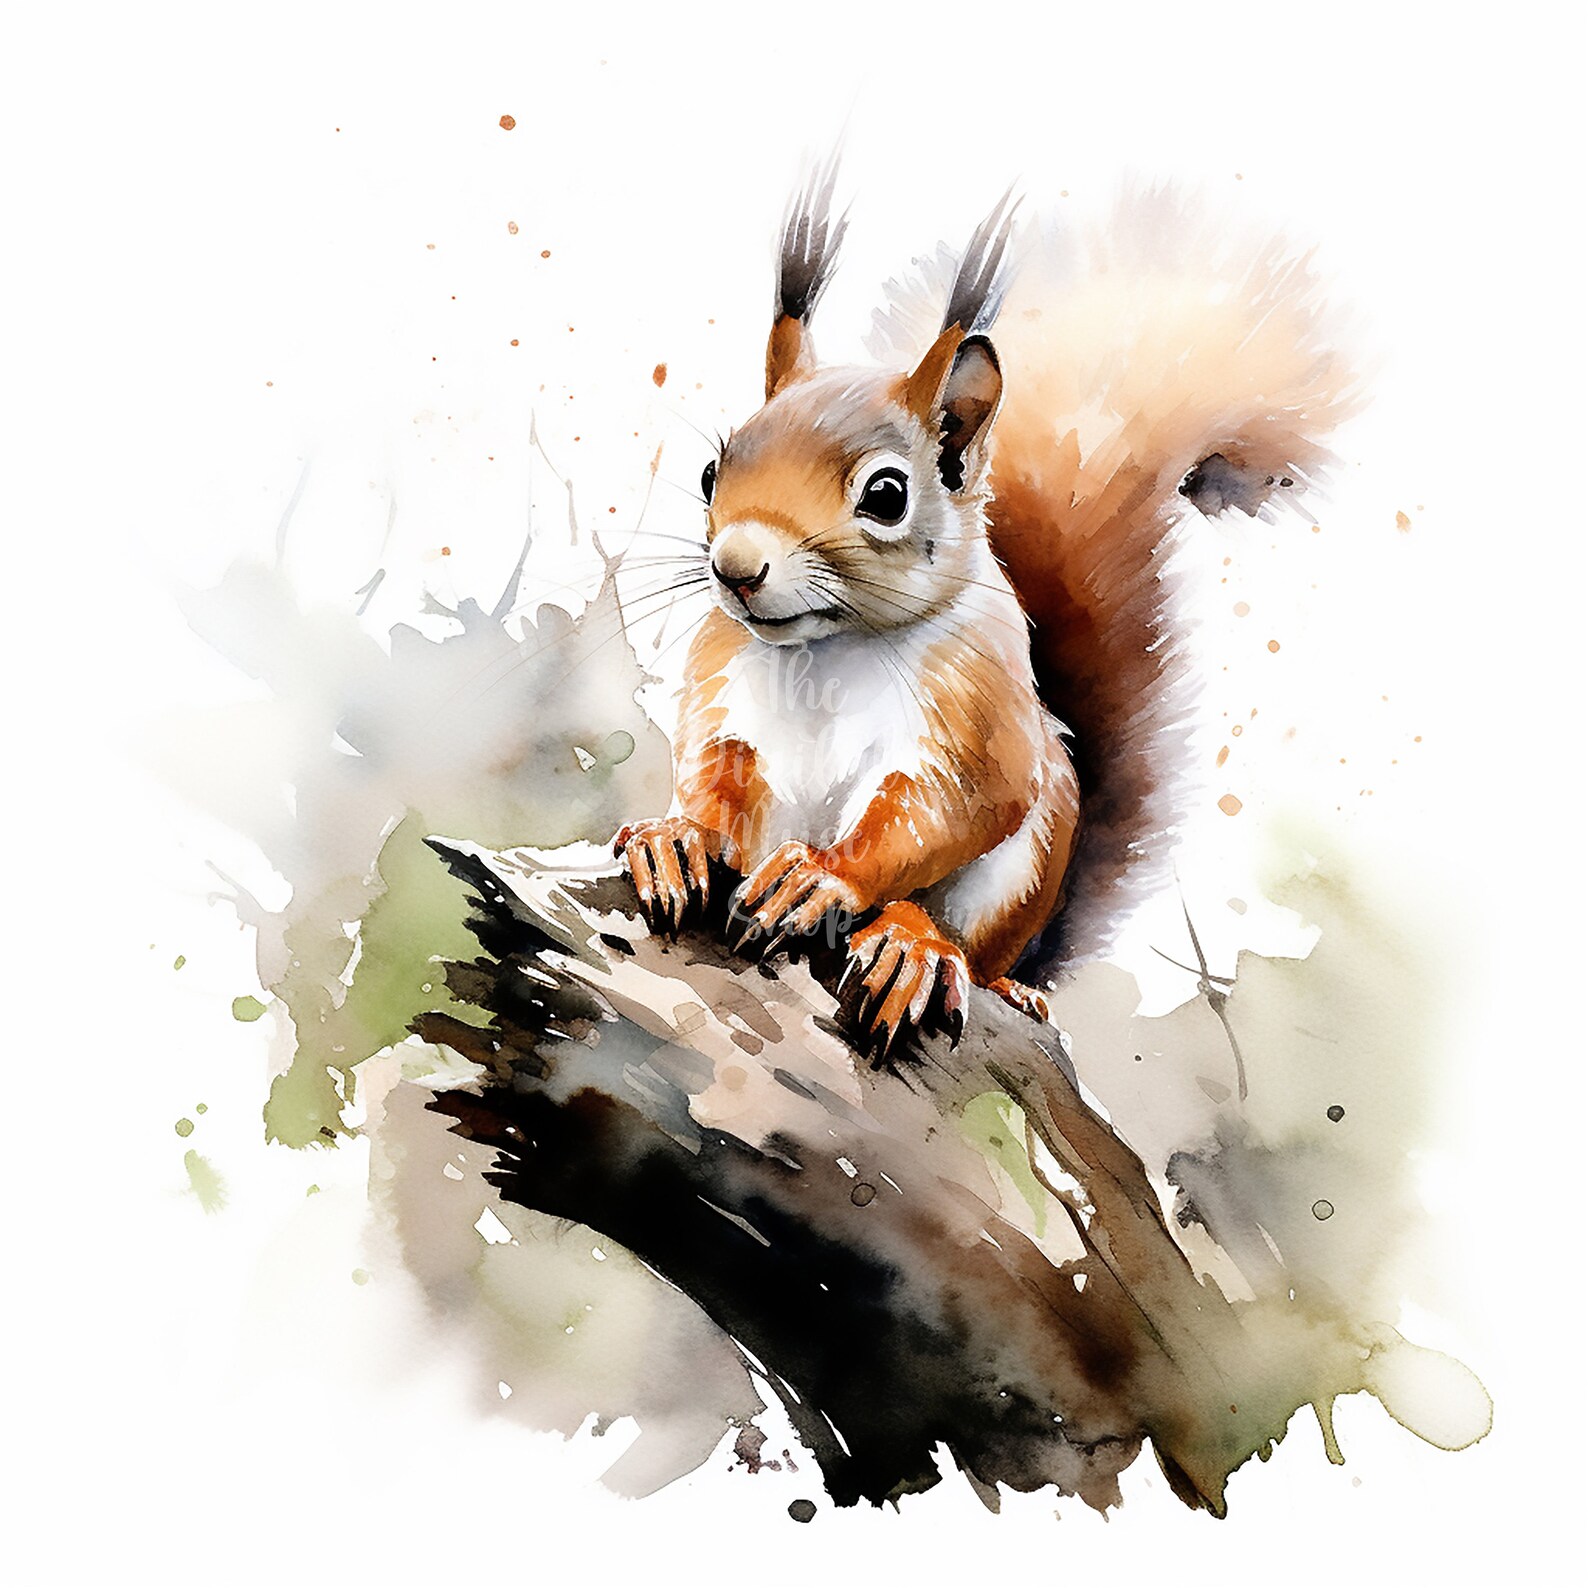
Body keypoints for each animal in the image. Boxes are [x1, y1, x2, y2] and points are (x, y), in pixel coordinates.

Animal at [615, 161, 1353, 1058]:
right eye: (710, 473)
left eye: (887, 495)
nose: (736, 569)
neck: (828, 649)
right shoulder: (723, 685)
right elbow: (713, 773)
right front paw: (674, 840)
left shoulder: (977, 709)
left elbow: (950, 808)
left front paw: (823, 874)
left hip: (1021, 872)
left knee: (967, 940)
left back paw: (919, 950)